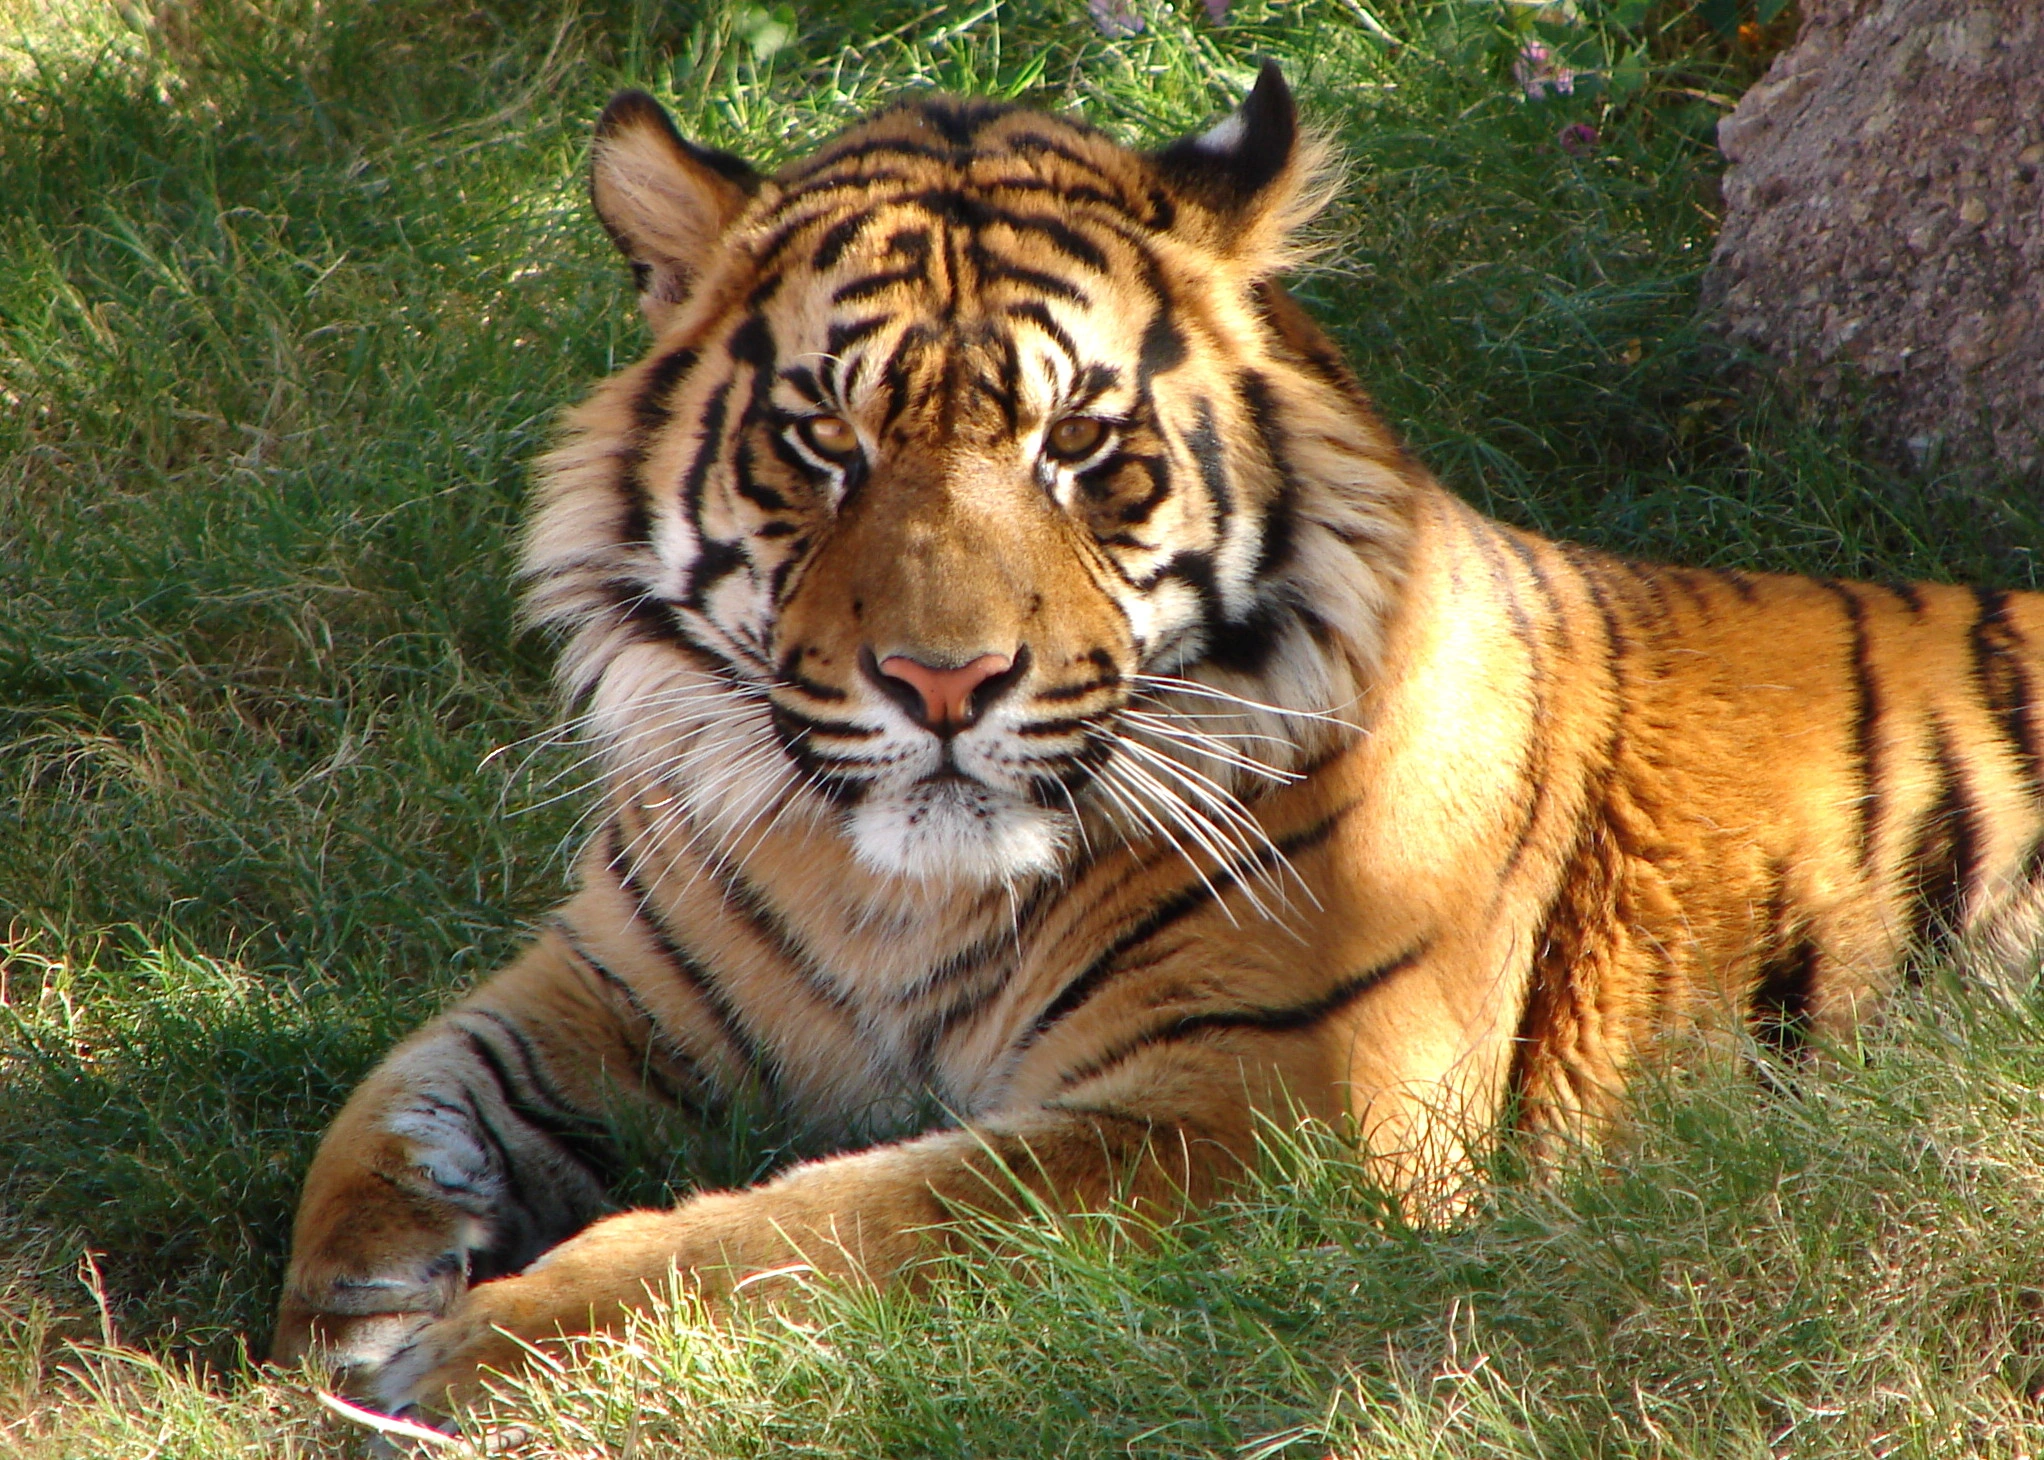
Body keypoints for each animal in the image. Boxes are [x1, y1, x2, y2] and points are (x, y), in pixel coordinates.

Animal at [270, 64, 2044, 1422]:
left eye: (1079, 443)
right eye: (826, 440)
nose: (942, 682)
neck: (889, 893)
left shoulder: (1269, 1109)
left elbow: (850, 1216)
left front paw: (482, 1348)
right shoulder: (616, 978)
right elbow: (392, 1101)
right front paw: (353, 1303)